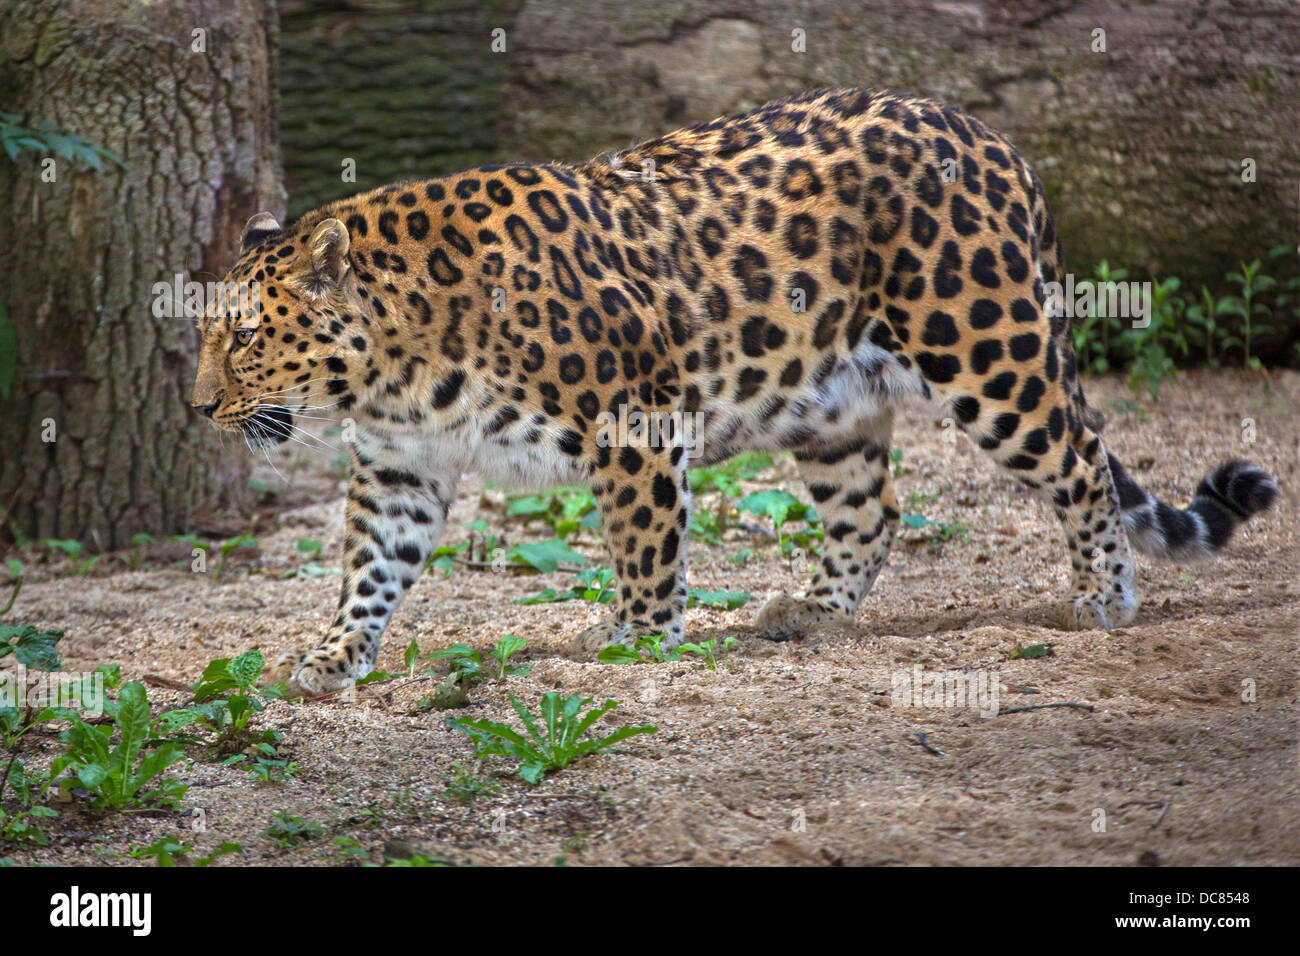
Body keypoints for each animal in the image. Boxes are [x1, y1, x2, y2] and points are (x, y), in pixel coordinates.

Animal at [190, 88, 1278, 697]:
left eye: (243, 336)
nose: (199, 407)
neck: (397, 368)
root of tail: (994, 138)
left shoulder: (633, 426)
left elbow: (642, 549)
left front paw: (636, 643)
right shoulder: (400, 468)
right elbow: (370, 570)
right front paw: (334, 655)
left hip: (988, 352)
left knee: (1081, 459)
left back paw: (1102, 597)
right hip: (832, 402)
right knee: (874, 508)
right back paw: (815, 613)